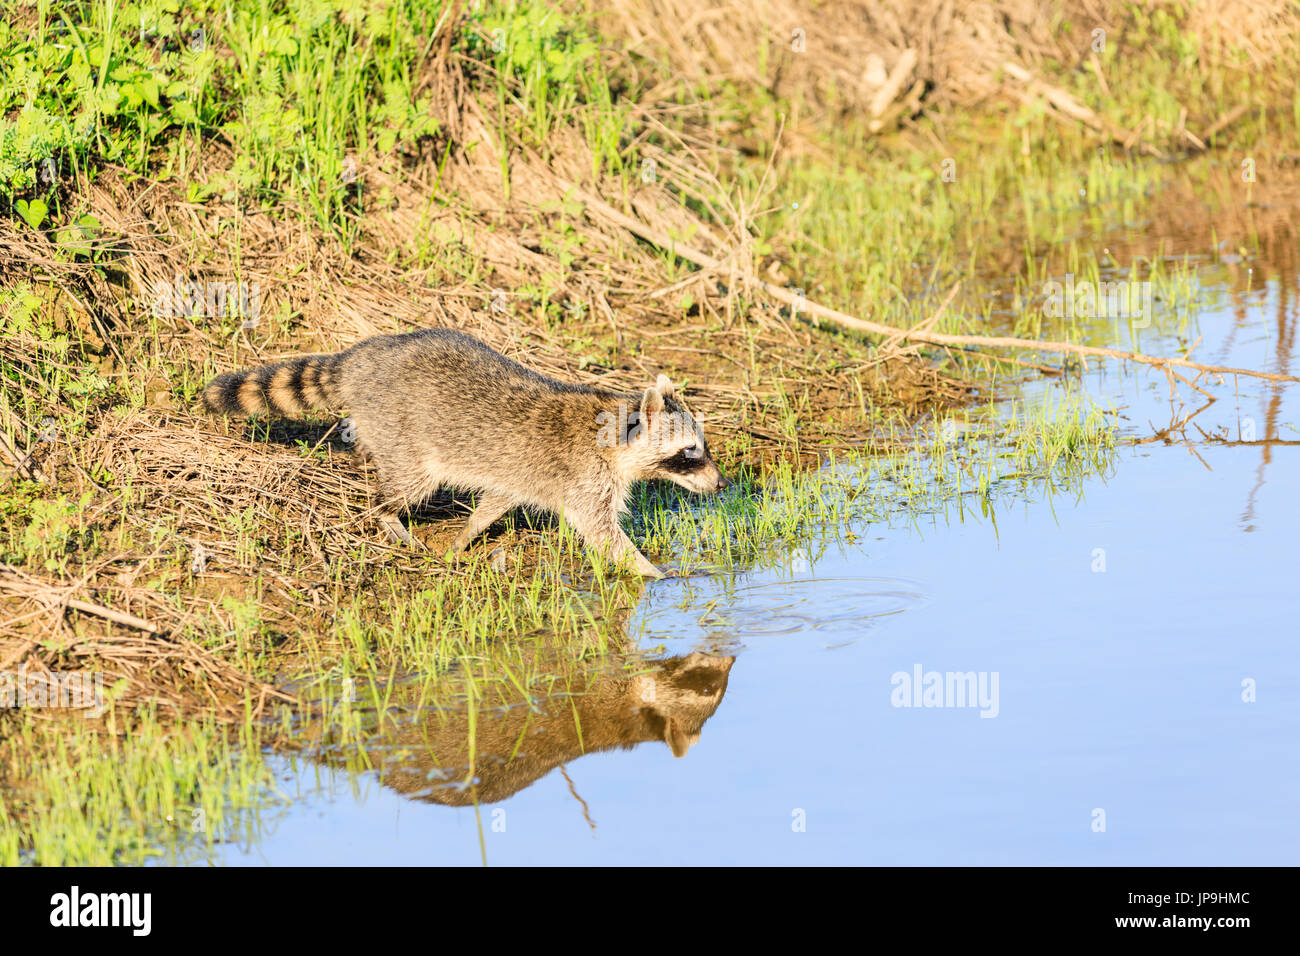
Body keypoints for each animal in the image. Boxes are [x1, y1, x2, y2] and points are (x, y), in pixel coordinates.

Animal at [202, 328, 730, 577]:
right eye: (689, 453)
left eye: (702, 448)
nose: (722, 484)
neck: (614, 430)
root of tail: (360, 360)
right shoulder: (586, 479)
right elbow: (603, 535)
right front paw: (655, 573)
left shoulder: (523, 478)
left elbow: (495, 502)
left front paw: (466, 535)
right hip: (402, 432)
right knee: (404, 485)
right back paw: (388, 516)